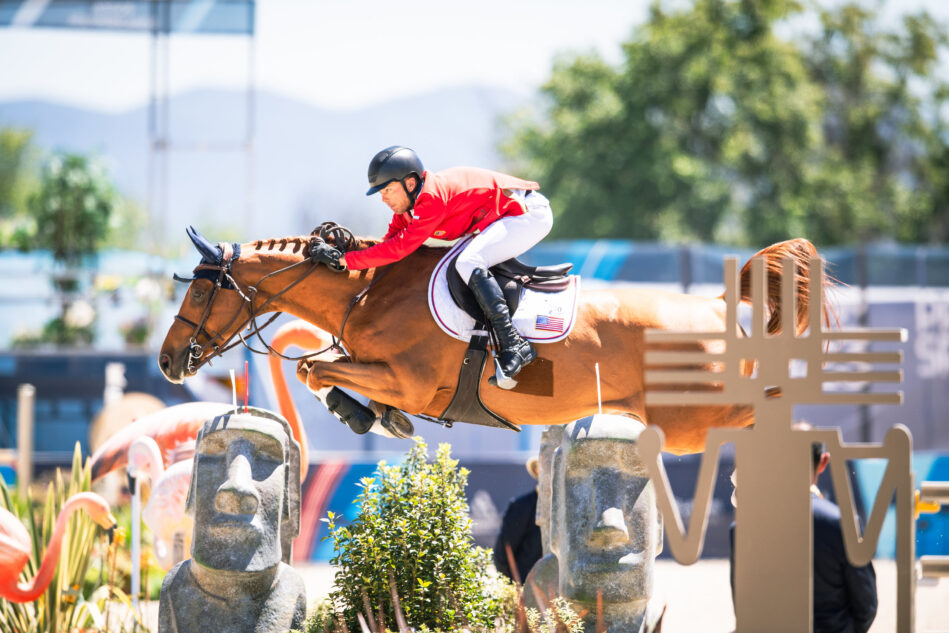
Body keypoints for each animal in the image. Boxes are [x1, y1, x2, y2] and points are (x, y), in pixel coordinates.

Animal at [158, 228, 830, 455]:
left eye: (199, 293)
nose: (166, 361)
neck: (367, 291)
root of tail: (718, 304)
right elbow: (314, 371)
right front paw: (375, 418)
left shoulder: (409, 380)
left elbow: (320, 372)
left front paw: (372, 416)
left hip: (694, 419)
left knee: (767, 412)